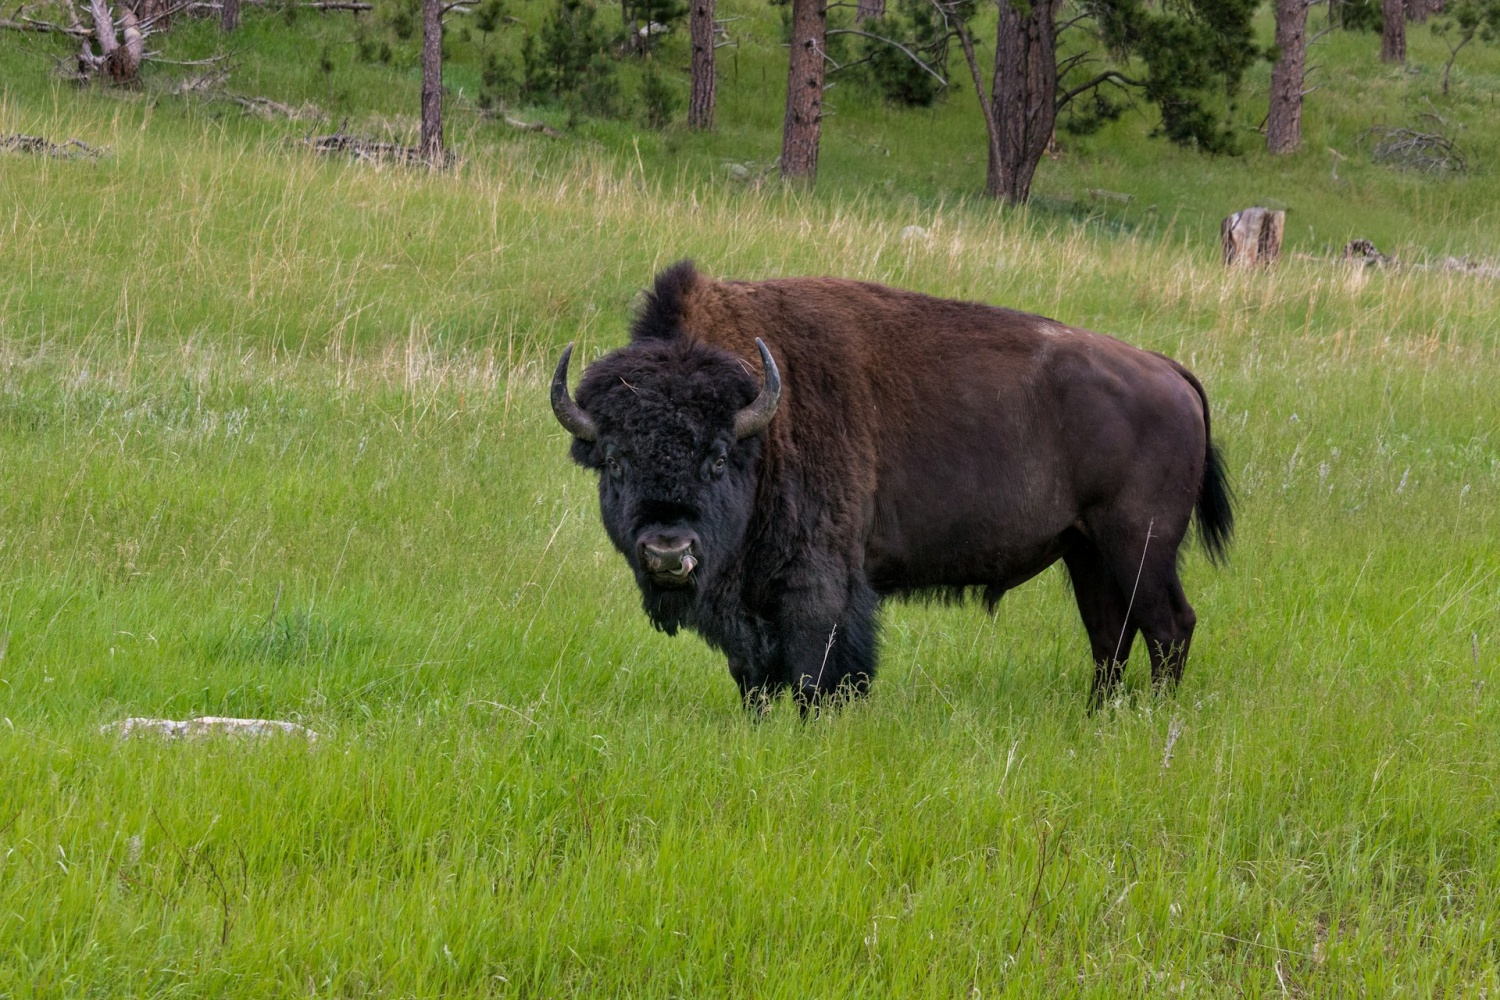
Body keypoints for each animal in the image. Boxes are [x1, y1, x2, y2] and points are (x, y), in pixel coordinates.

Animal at [552, 262, 1233, 709]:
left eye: (718, 458)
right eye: (614, 461)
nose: (667, 552)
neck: (763, 425)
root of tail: (1168, 370)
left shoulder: (820, 586)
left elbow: (818, 672)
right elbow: (754, 679)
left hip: (1139, 547)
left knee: (1169, 628)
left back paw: (1152, 719)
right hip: (1086, 552)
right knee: (1110, 636)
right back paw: (1097, 717)